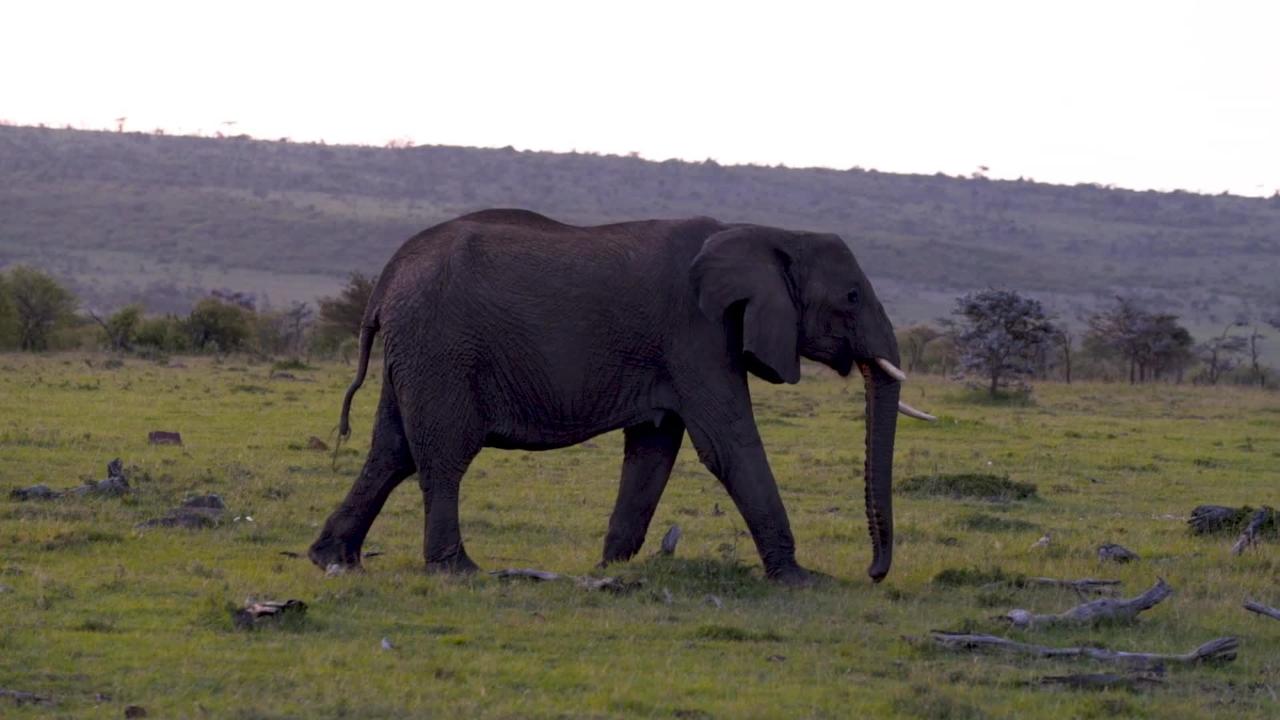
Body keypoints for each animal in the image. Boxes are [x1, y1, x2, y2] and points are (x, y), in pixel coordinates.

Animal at [308, 209, 935, 585]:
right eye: (851, 296)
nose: (874, 573)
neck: (767, 232)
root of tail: (386, 281)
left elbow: (654, 451)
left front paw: (608, 569)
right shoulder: (697, 334)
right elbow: (728, 444)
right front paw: (802, 580)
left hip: (416, 352)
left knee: (391, 452)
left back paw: (334, 560)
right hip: (442, 349)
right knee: (442, 456)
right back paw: (457, 571)